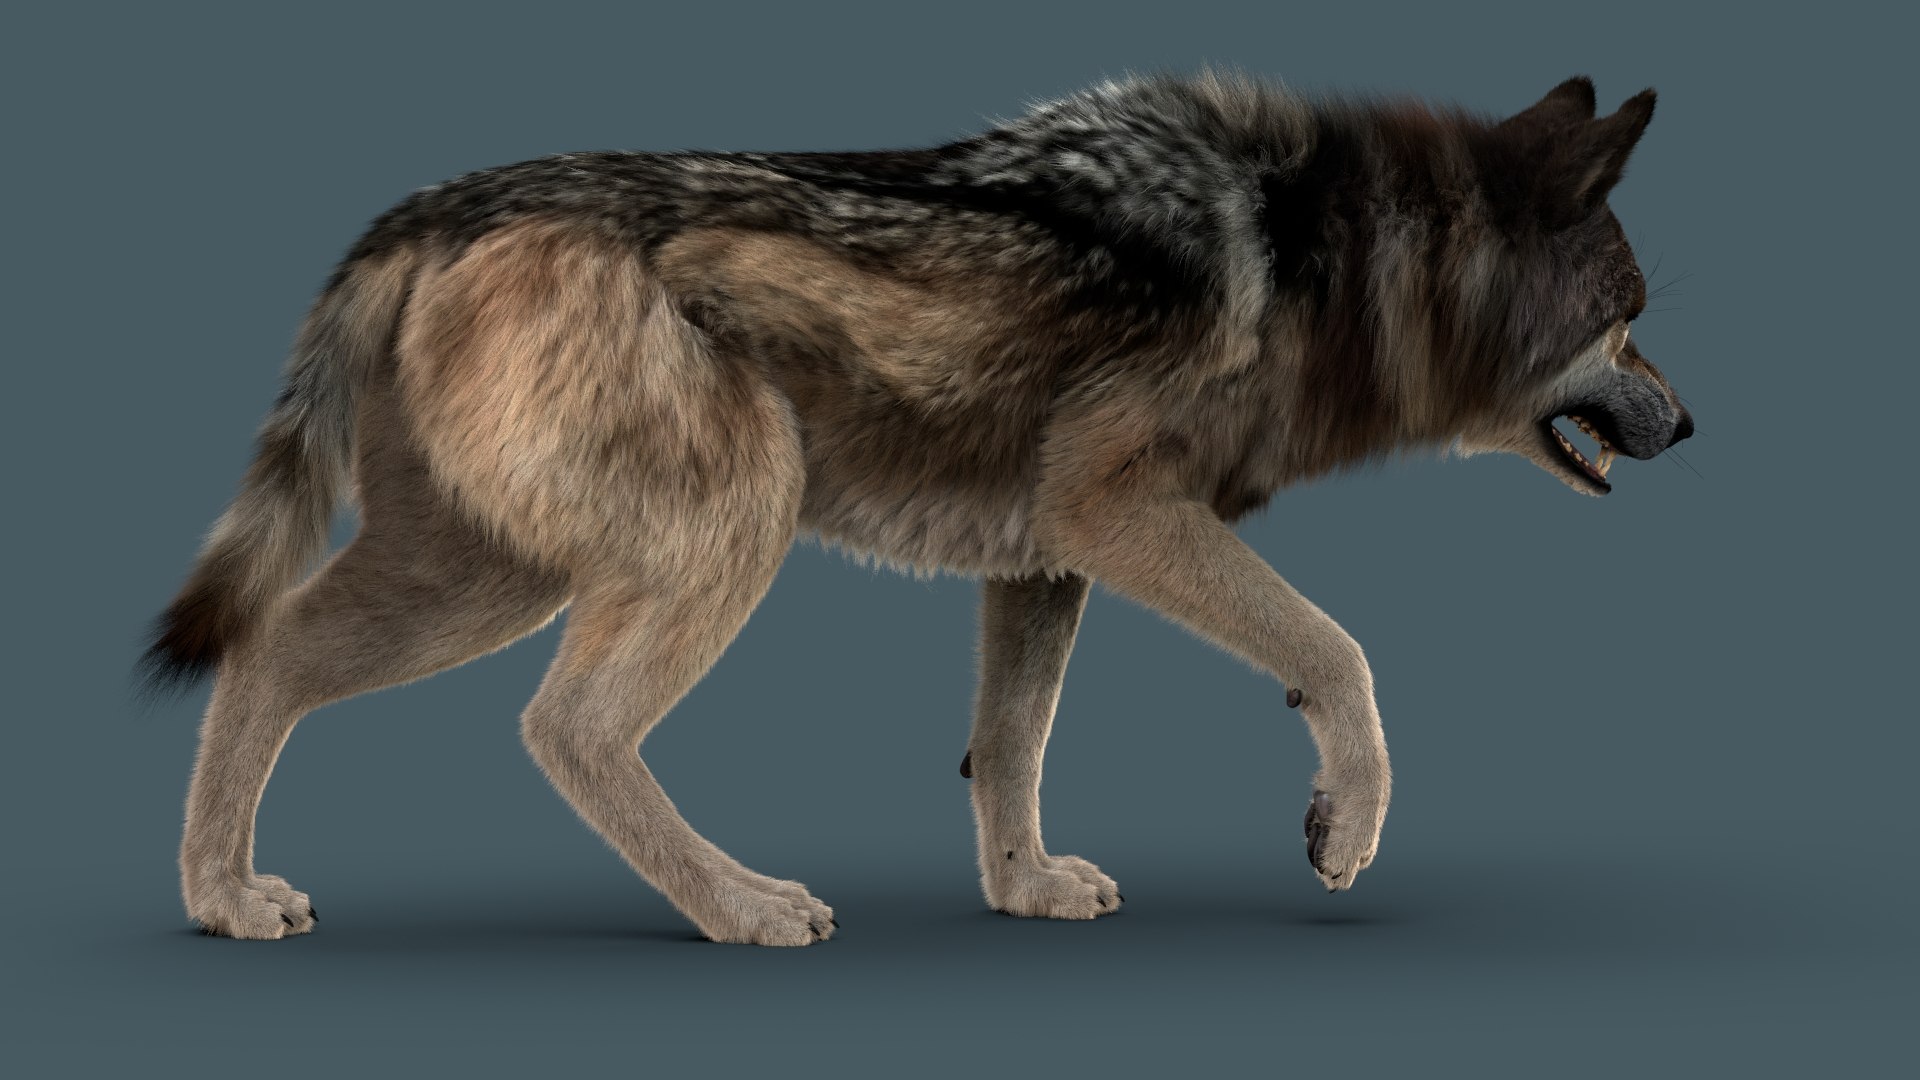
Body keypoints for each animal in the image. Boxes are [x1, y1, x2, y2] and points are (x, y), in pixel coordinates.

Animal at [143, 71, 1691, 945]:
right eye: (1630, 317)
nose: (1692, 423)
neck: (1328, 254)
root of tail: (434, 210)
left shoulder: (1045, 558)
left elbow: (1005, 751)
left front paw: (1023, 894)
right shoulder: (1117, 513)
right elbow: (1340, 656)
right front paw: (1348, 830)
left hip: (484, 577)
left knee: (270, 653)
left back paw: (223, 901)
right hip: (720, 531)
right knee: (564, 728)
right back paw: (741, 911)